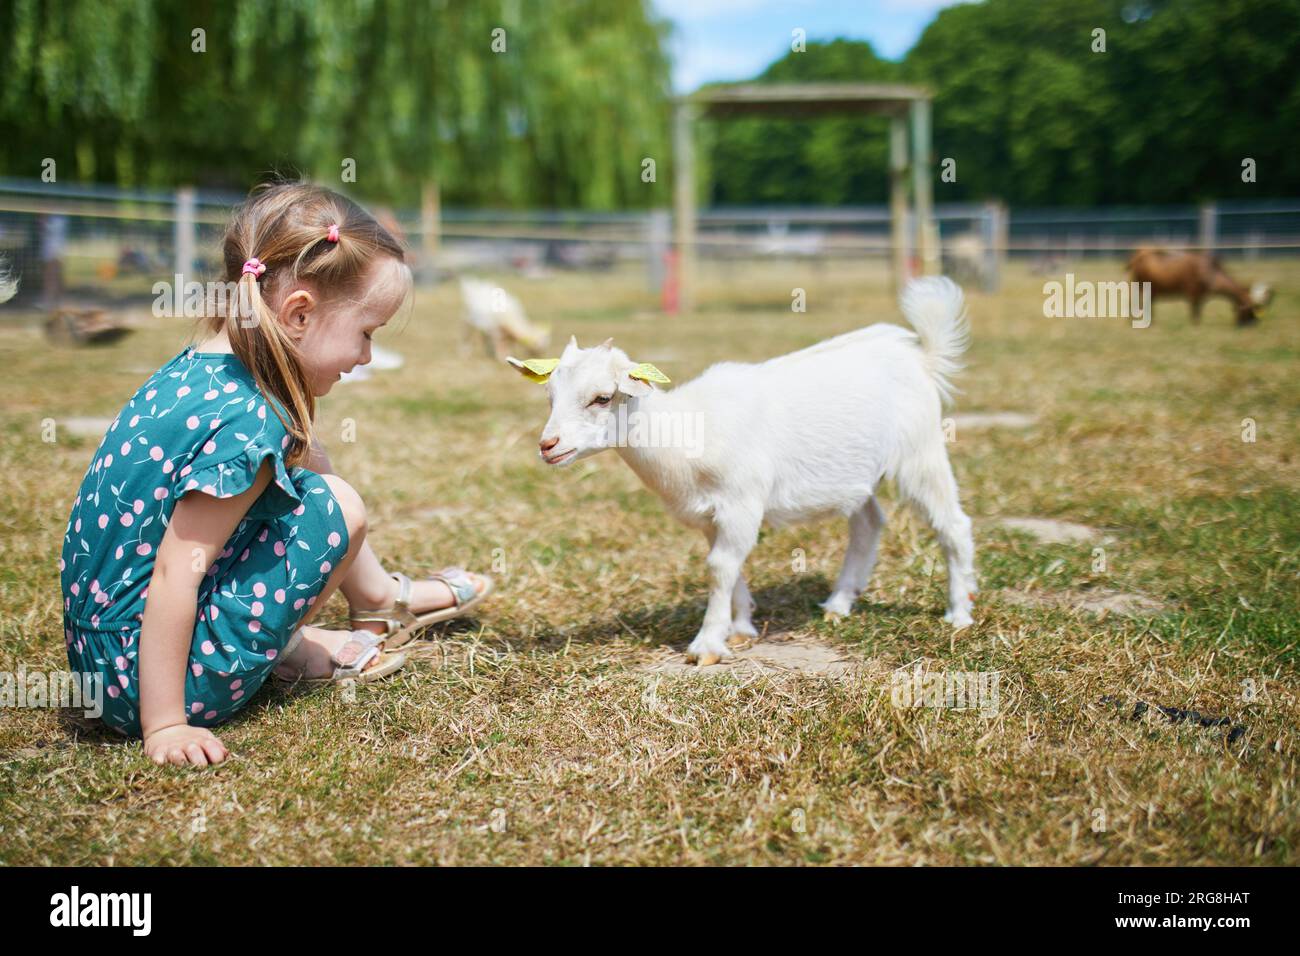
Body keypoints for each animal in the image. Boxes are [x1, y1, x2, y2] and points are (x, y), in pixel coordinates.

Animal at [508, 277, 978, 666]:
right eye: (550, 396)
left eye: (603, 397)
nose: (548, 446)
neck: (685, 431)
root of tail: (918, 354)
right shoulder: (709, 515)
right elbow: (726, 565)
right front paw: (740, 627)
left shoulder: (741, 502)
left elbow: (719, 566)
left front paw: (707, 646)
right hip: (856, 473)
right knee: (868, 522)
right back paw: (839, 605)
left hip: (920, 451)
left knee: (952, 524)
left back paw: (959, 613)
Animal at [1127, 247, 1271, 326]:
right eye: (1250, 310)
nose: (1253, 324)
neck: (1210, 271)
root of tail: (1139, 255)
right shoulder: (1192, 292)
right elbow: (1194, 312)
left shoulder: (1202, 295)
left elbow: (1198, 312)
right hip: (1140, 286)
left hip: (1151, 290)